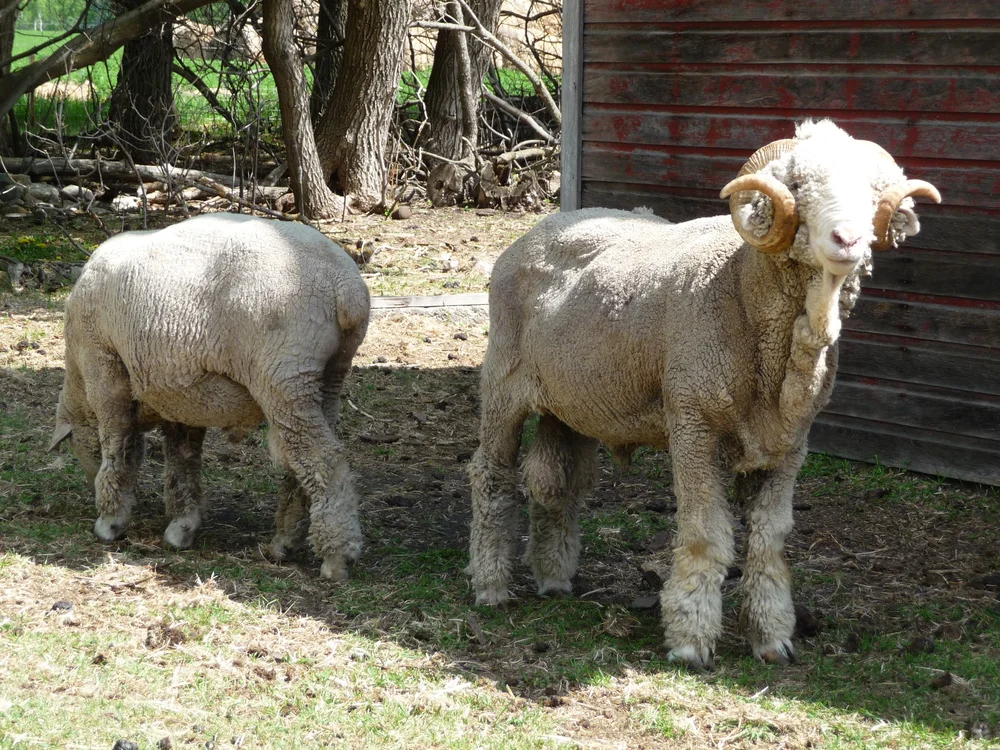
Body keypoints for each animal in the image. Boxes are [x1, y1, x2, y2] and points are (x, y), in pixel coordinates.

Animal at [48, 213, 370, 581]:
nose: (89, 487)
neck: (77, 383)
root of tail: (345, 287)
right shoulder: (180, 396)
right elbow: (182, 460)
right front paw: (182, 525)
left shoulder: (104, 368)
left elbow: (118, 447)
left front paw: (110, 520)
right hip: (327, 378)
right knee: (300, 464)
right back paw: (284, 542)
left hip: (285, 376)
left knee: (323, 458)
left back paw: (336, 557)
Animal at [467, 119, 941, 670]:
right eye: (797, 184)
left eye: (873, 189)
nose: (848, 238)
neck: (741, 289)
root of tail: (539, 229)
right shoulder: (693, 424)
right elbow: (703, 534)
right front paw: (690, 638)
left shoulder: (790, 445)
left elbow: (770, 541)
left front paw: (772, 637)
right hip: (503, 382)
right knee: (491, 475)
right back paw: (491, 586)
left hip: (572, 401)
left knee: (555, 483)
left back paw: (553, 578)